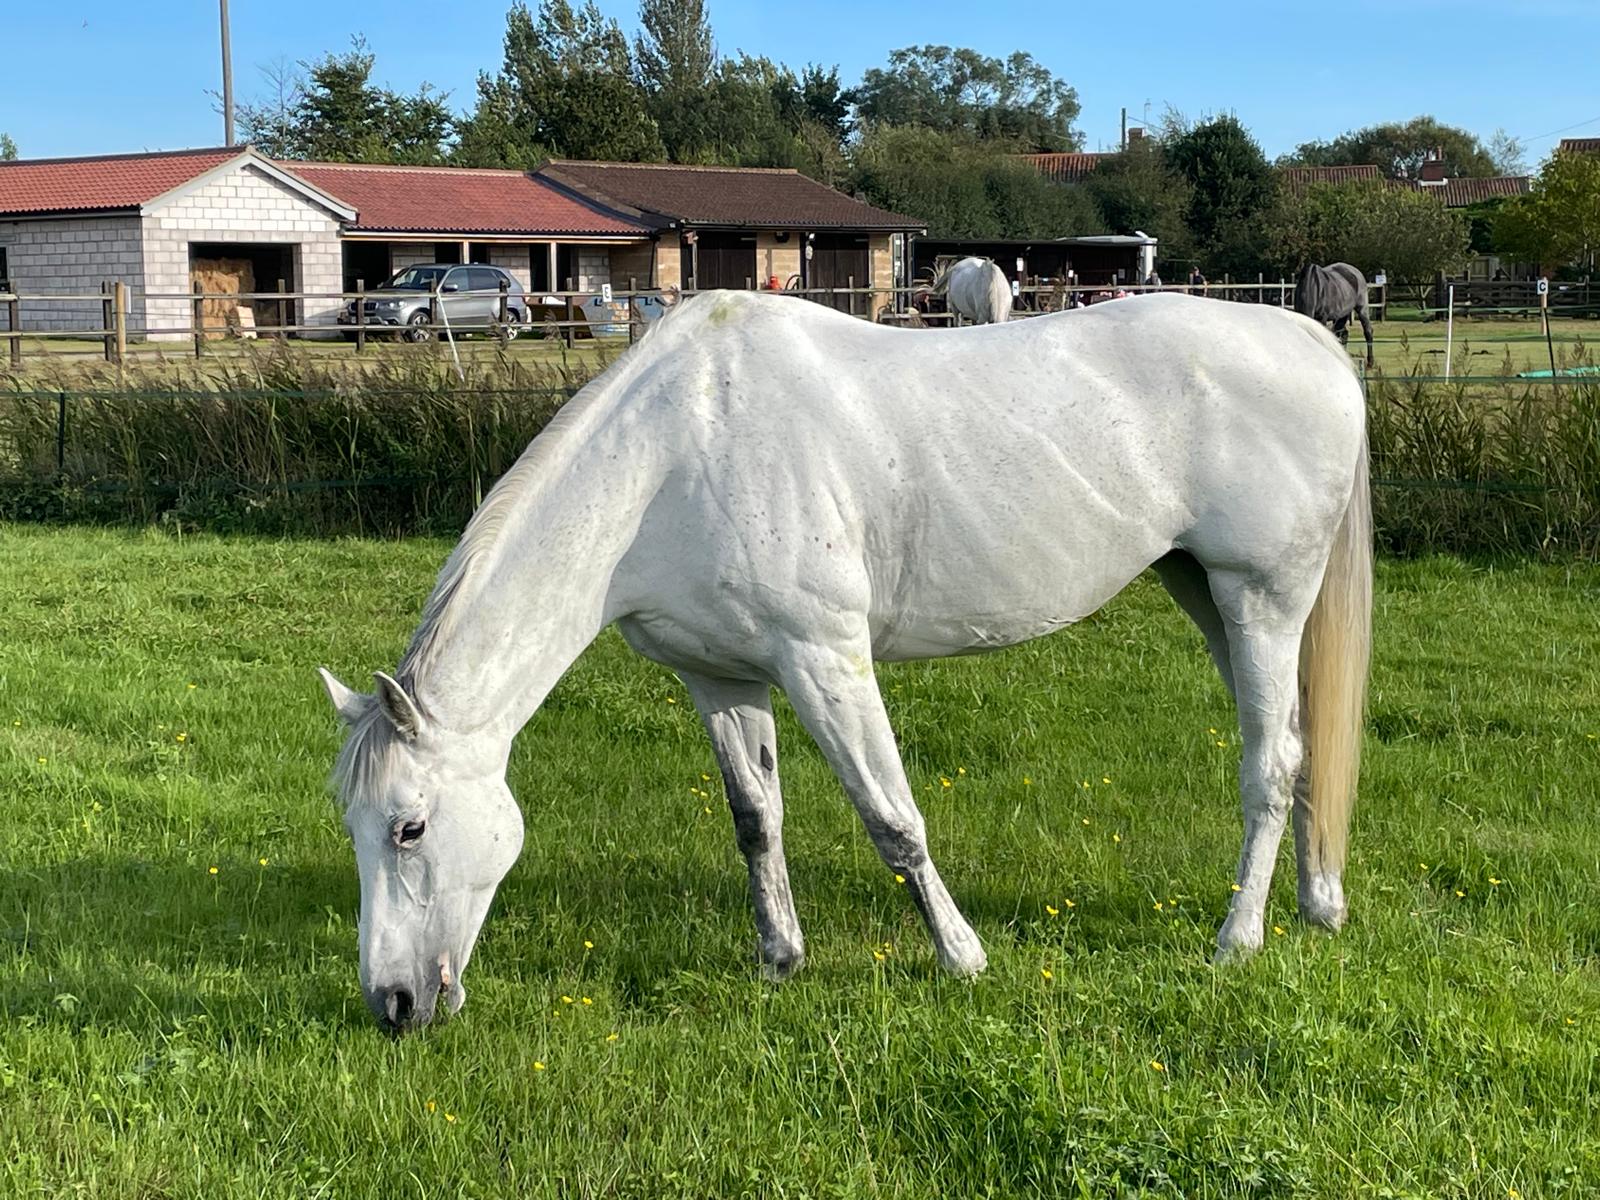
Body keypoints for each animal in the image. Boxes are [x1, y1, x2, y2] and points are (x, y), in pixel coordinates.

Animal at [320, 289, 1372, 1033]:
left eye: (409, 828)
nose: (393, 1005)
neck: (676, 453)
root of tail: (1310, 341)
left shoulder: (825, 661)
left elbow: (892, 819)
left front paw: (961, 957)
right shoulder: (723, 679)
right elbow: (756, 820)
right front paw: (778, 958)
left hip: (1261, 598)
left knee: (1271, 763)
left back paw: (1239, 939)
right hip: (1209, 596)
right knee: (1302, 747)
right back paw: (1320, 906)